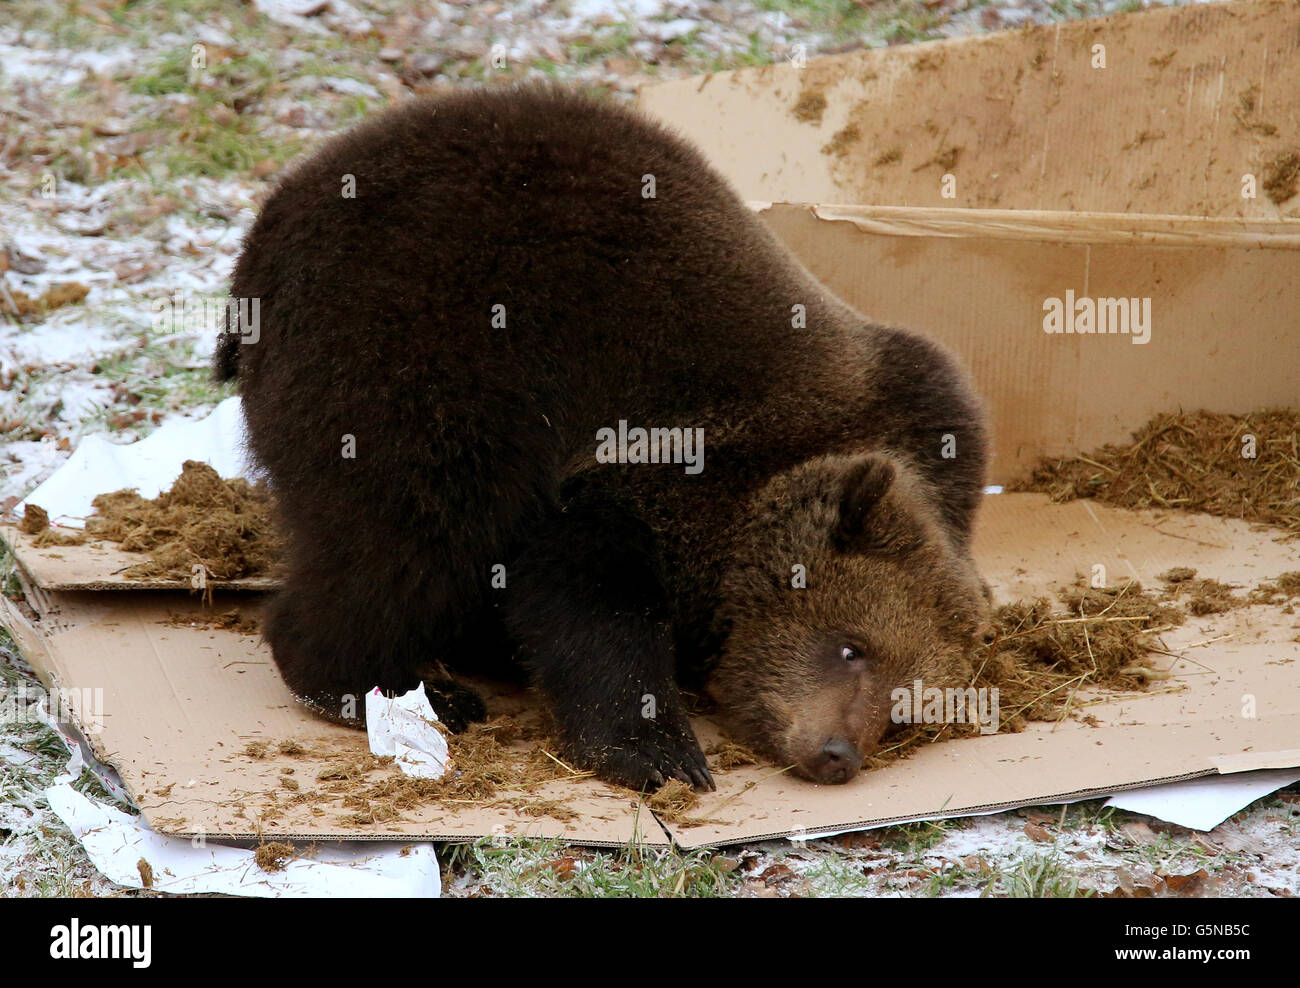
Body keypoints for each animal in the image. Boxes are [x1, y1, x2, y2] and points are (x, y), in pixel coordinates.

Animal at [215, 83, 991, 792]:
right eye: (853, 647)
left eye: (906, 706)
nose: (837, 753)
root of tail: (272, 219)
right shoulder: (664, 448)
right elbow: (591, 594)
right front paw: (658, 751)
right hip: (411, 343)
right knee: (410, 527)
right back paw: (395, 685)